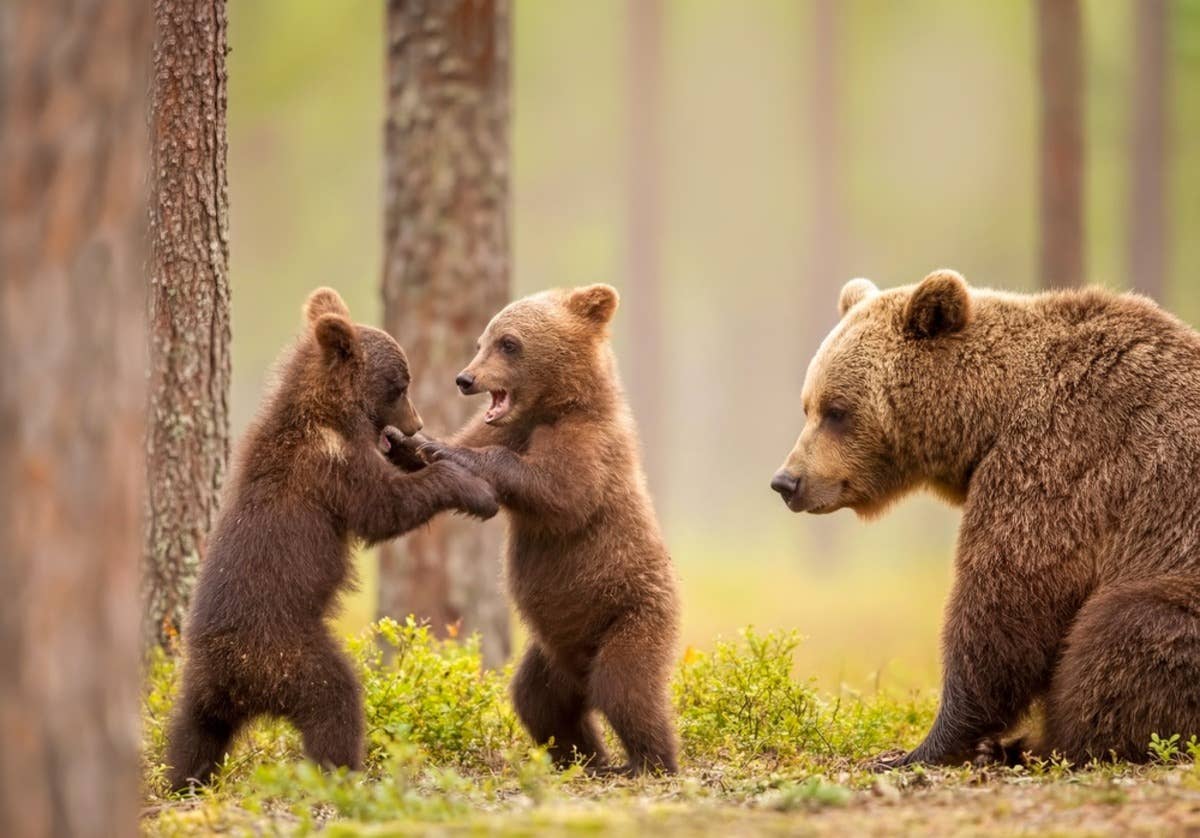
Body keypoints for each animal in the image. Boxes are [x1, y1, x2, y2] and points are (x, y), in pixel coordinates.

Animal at [165, 287, 499, 791]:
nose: (417, 424)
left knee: (191, 733)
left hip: (201, 687)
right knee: (335, 702)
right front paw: (476, 491)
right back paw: (343, 770)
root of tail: (237, 679)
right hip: (290, 655)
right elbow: (385, 509)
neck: (329, 414)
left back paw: (182, 780)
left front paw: (425, 452)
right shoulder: (331, 465)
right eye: (401, 384)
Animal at [392, 284, 681, 775]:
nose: (465, 378)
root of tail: (580, 671)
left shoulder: (589, 444)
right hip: (550, 655)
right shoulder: (503, 427)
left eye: (509, 343)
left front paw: (448, 453)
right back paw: (583, 757)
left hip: (632, 614)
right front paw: (407, 442)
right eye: (481, 342)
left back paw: (648, 760)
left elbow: (558, 490)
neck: (555, 405)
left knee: (626, 688)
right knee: (539, 702)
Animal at [770, 268, 1200, 766]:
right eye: (808, 406)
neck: (990, 415)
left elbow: (1005, 600)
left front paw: (923, 747)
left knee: (1125, 631)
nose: (786, 481)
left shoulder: (1063, 459)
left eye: (836, 411)